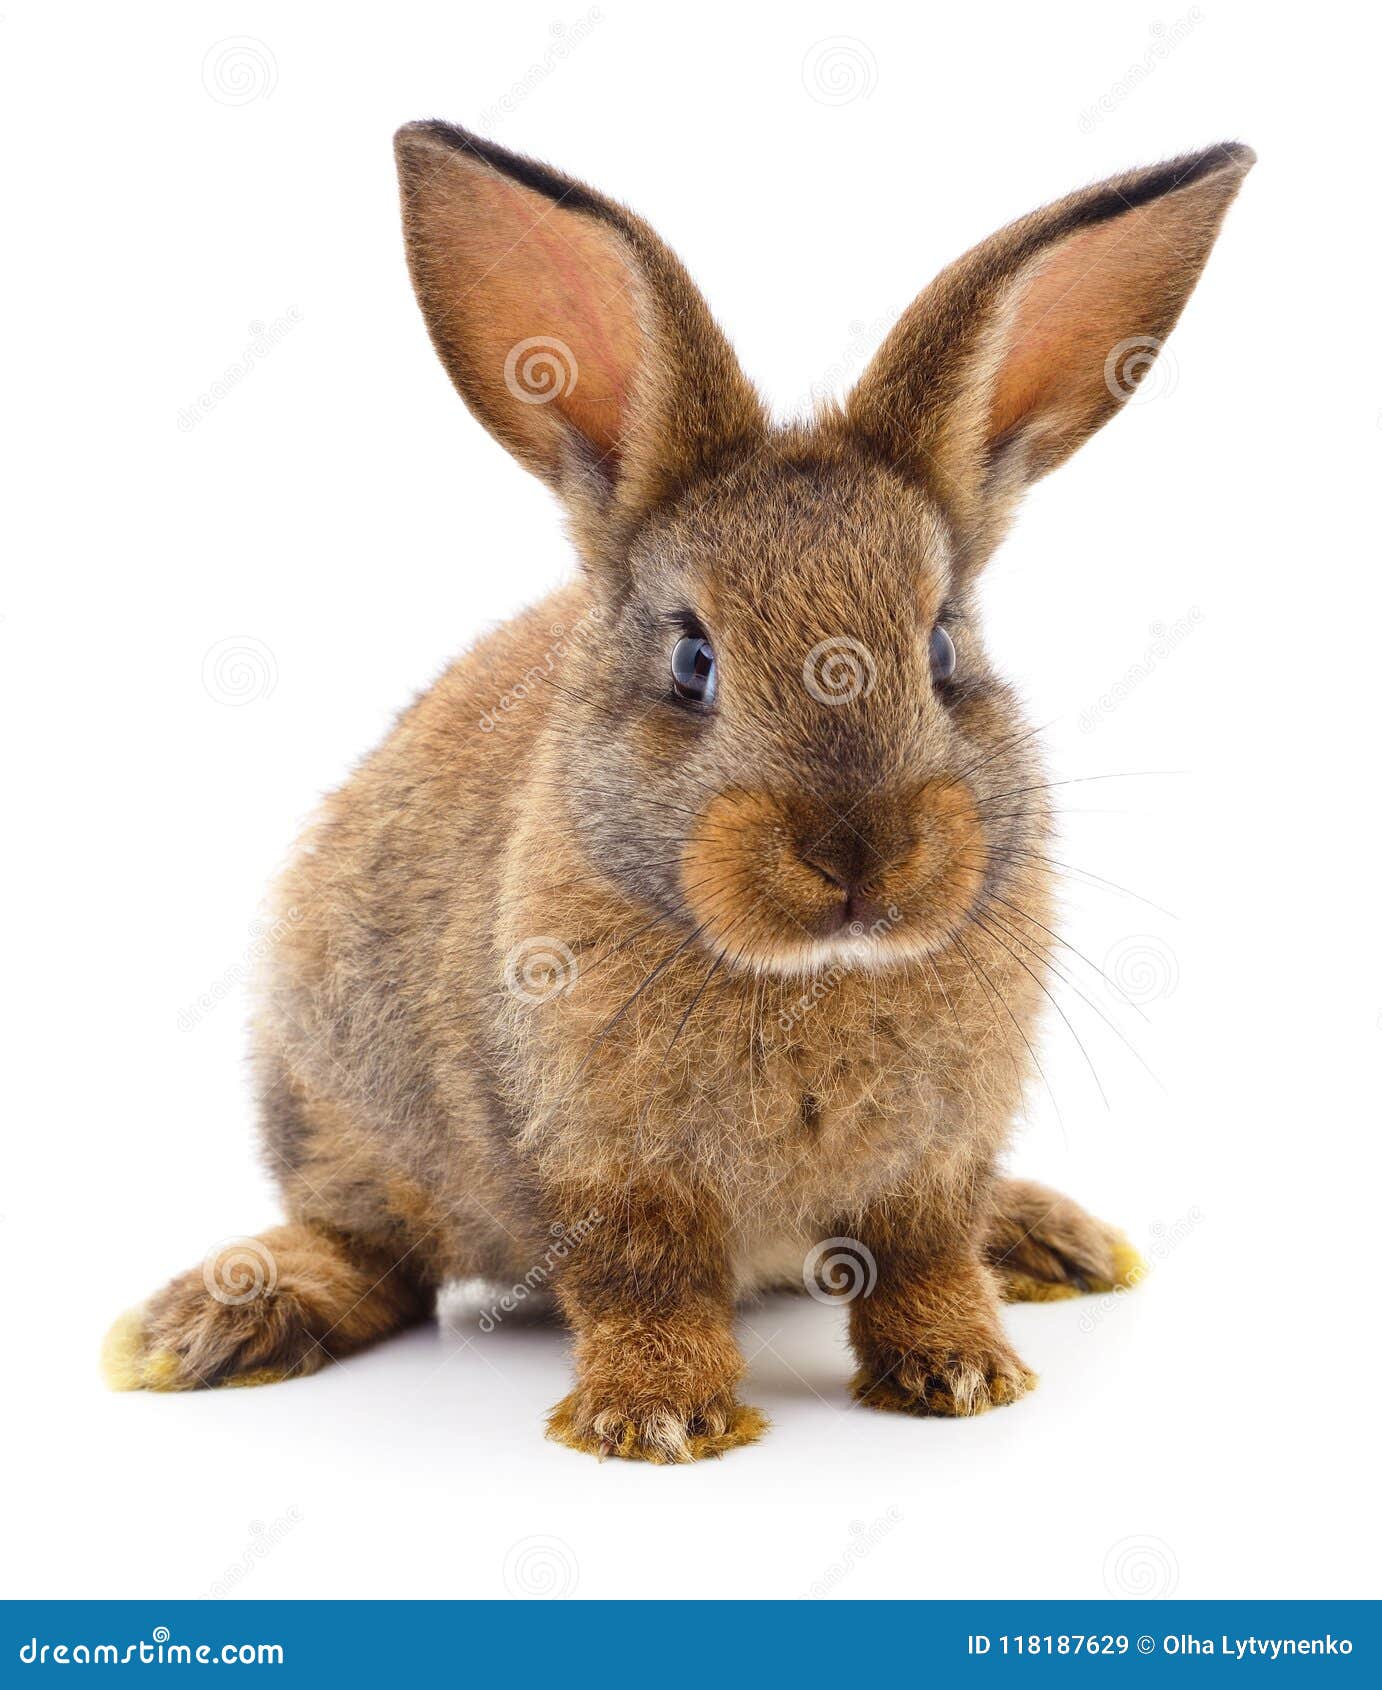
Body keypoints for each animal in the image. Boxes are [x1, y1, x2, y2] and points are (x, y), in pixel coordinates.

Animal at [103, 124, 1253, 1461]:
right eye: (692, 660)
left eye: (941, 649)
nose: (856, 854)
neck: (813, 972)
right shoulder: (609, 1171)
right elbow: (642, 1281)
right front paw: (655, 1419)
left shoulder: (930, 1165)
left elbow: (923, 1264)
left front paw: (963, 1374)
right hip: (343, 1109)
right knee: (370, 1248)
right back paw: (216, 1320)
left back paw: (1050, 1241)